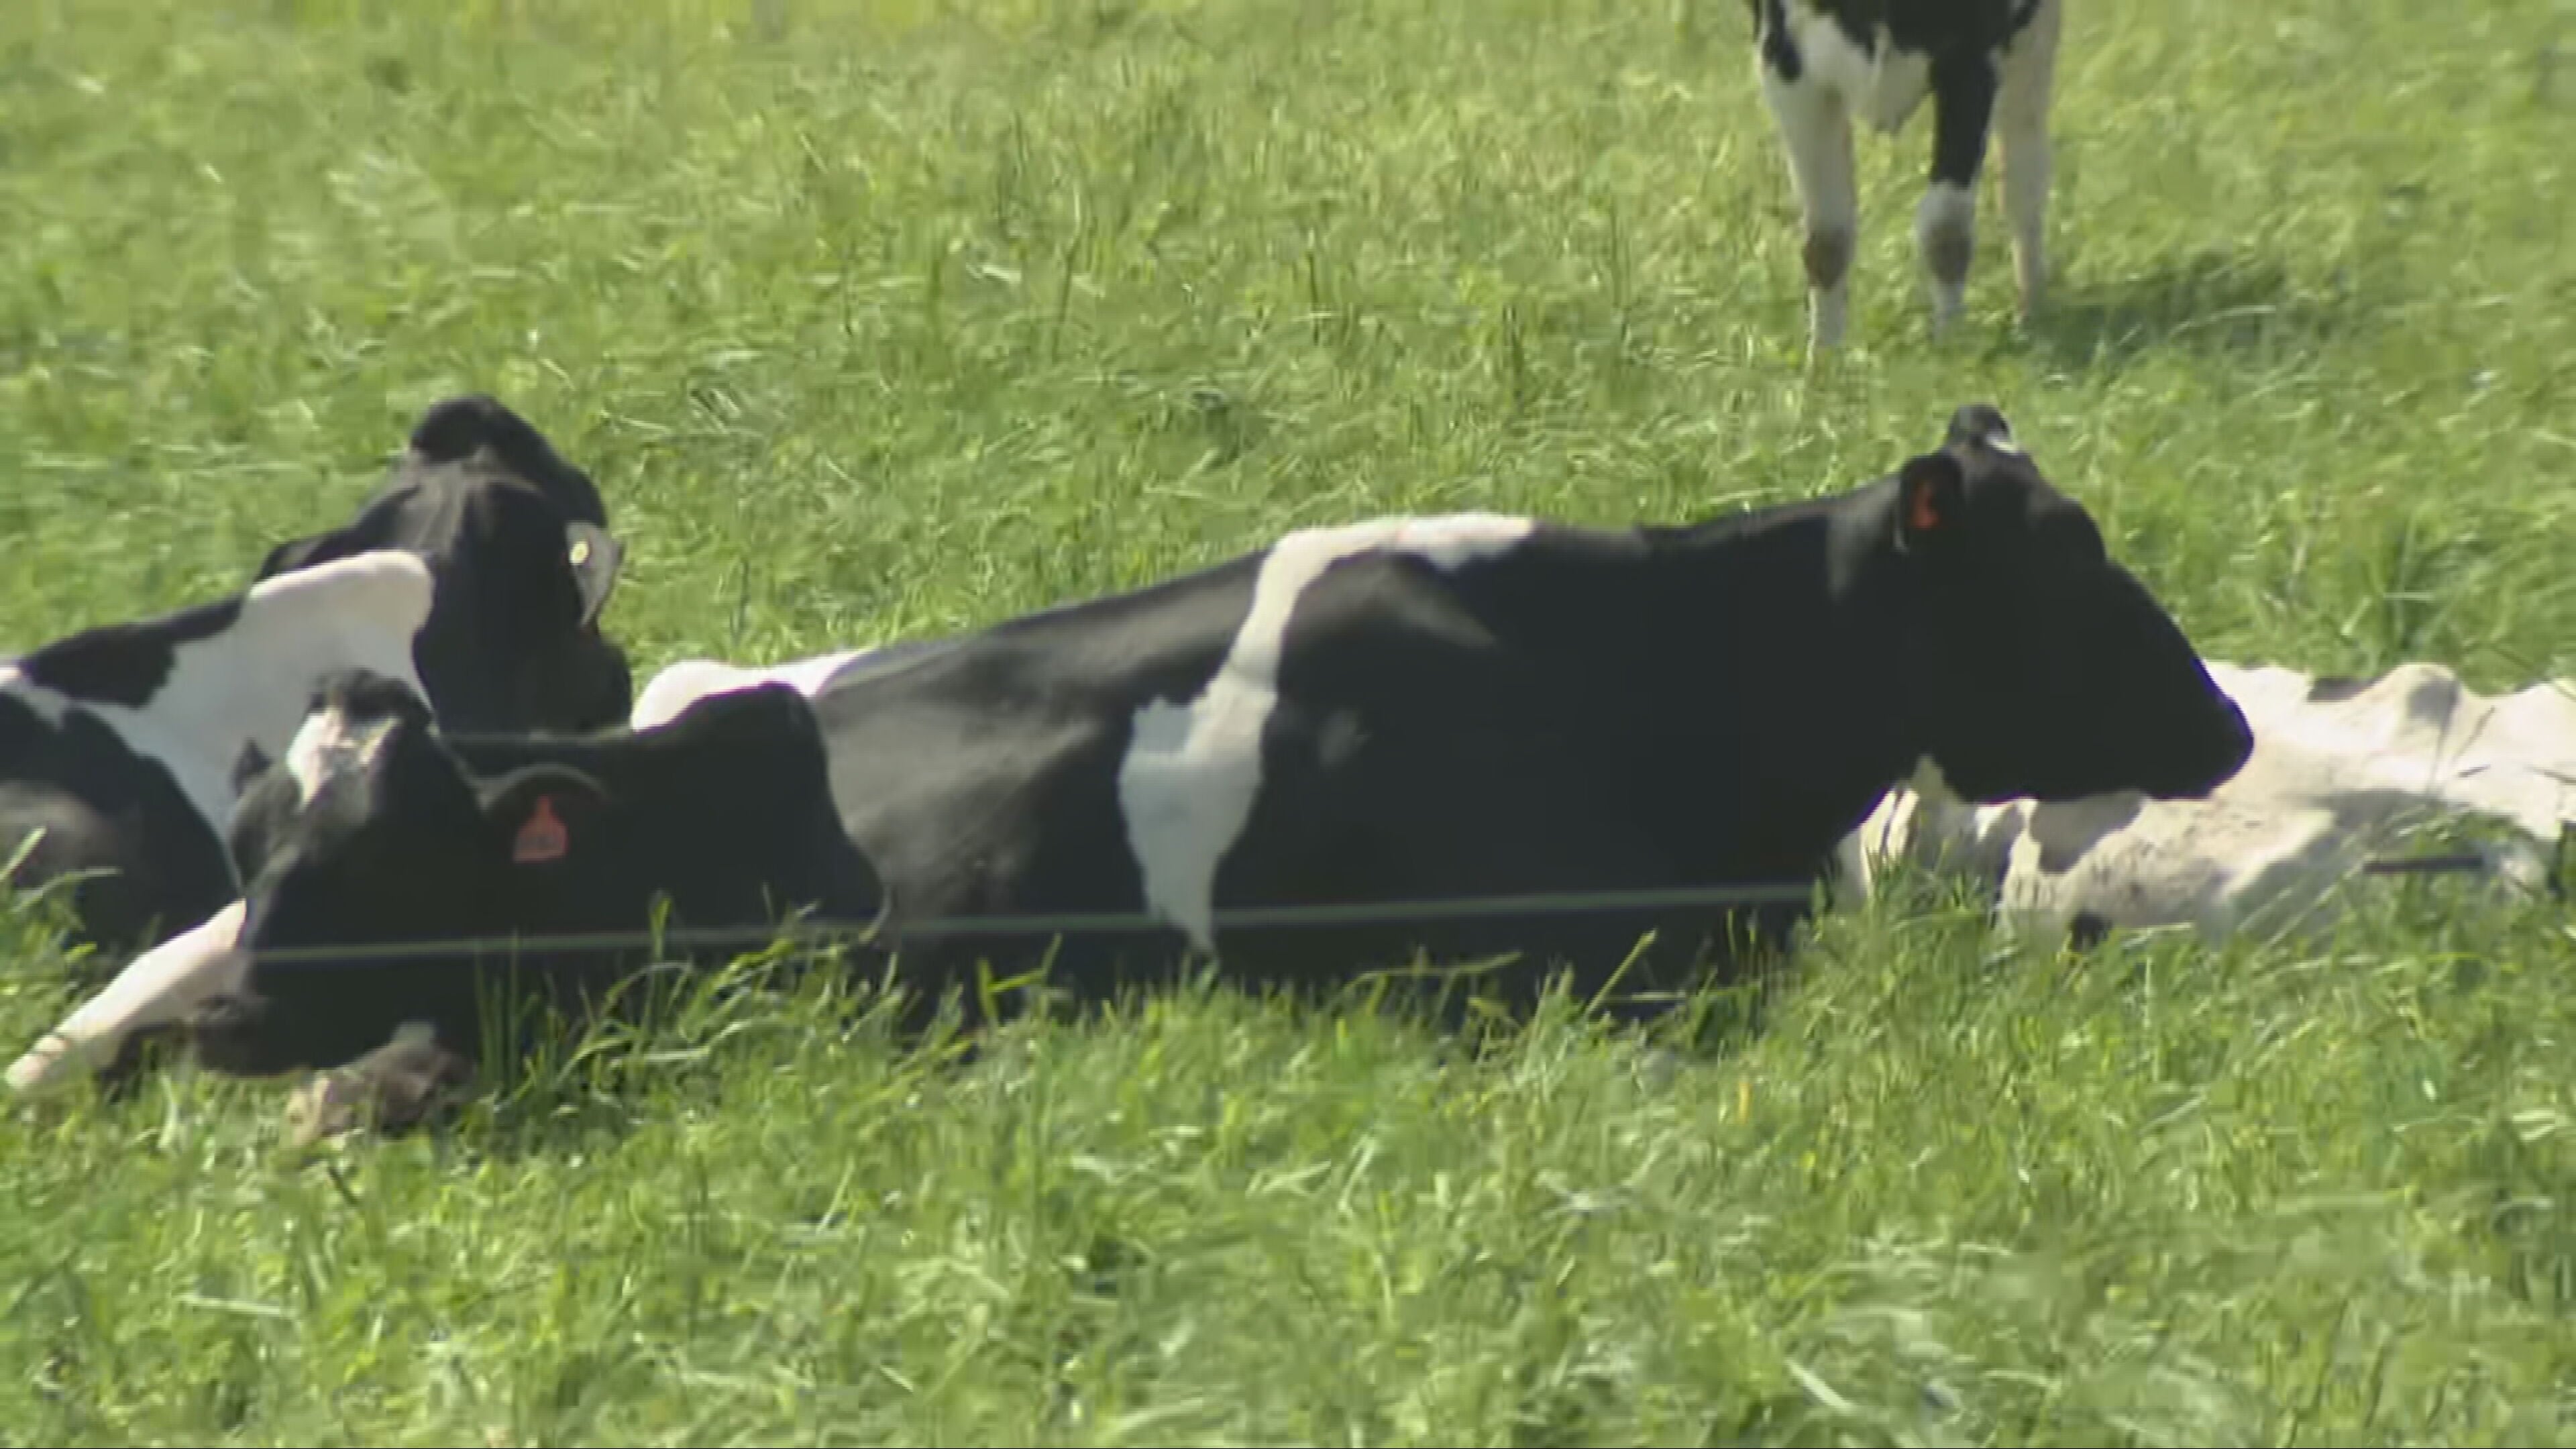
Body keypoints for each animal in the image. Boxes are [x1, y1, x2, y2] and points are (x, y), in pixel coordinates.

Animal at [1748, 0, 2062, 355]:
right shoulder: (1785, 62)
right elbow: (1826, 240)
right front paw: (1824, 358)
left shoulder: (1974, 57)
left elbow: (1945, 230)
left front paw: (1951, 348)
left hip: (2033, 43)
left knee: (2024, 175)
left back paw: (2031, 310)